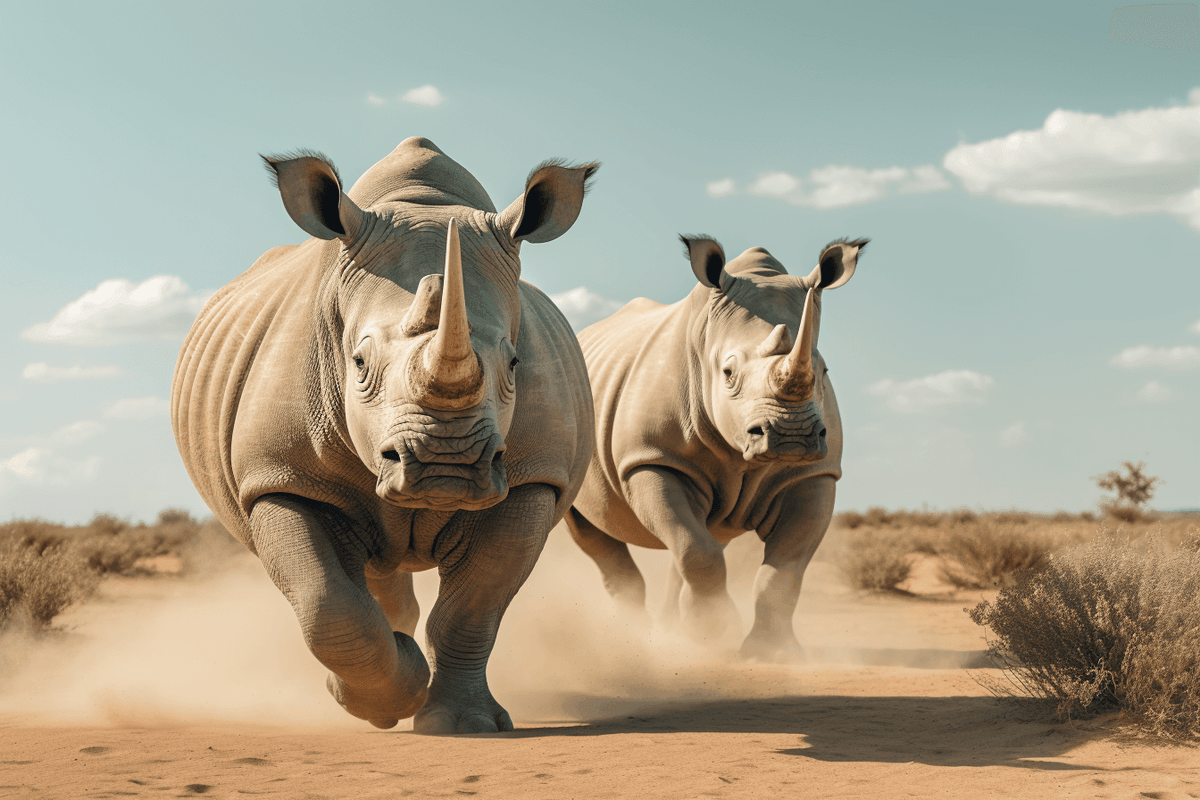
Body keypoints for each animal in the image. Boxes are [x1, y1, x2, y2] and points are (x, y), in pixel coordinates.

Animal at [171, 137, 597, 733]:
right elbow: (325, 602)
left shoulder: (533, 476)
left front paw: (460, 723)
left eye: (514, 363)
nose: (447, 464)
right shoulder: (278, 476)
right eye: (358, 364)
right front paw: (387, 699)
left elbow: (475, 606)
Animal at [565, 234, 866, 662]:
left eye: (823, 372)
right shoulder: (652, 459)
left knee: (700, 535)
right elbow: (696, 550)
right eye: (728, 373)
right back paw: (634, 638)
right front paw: (714, 633)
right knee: (598, 533)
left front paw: (772, 652)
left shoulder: (813, 472)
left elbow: (785, 569)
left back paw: (668, 632)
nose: (792, 435)